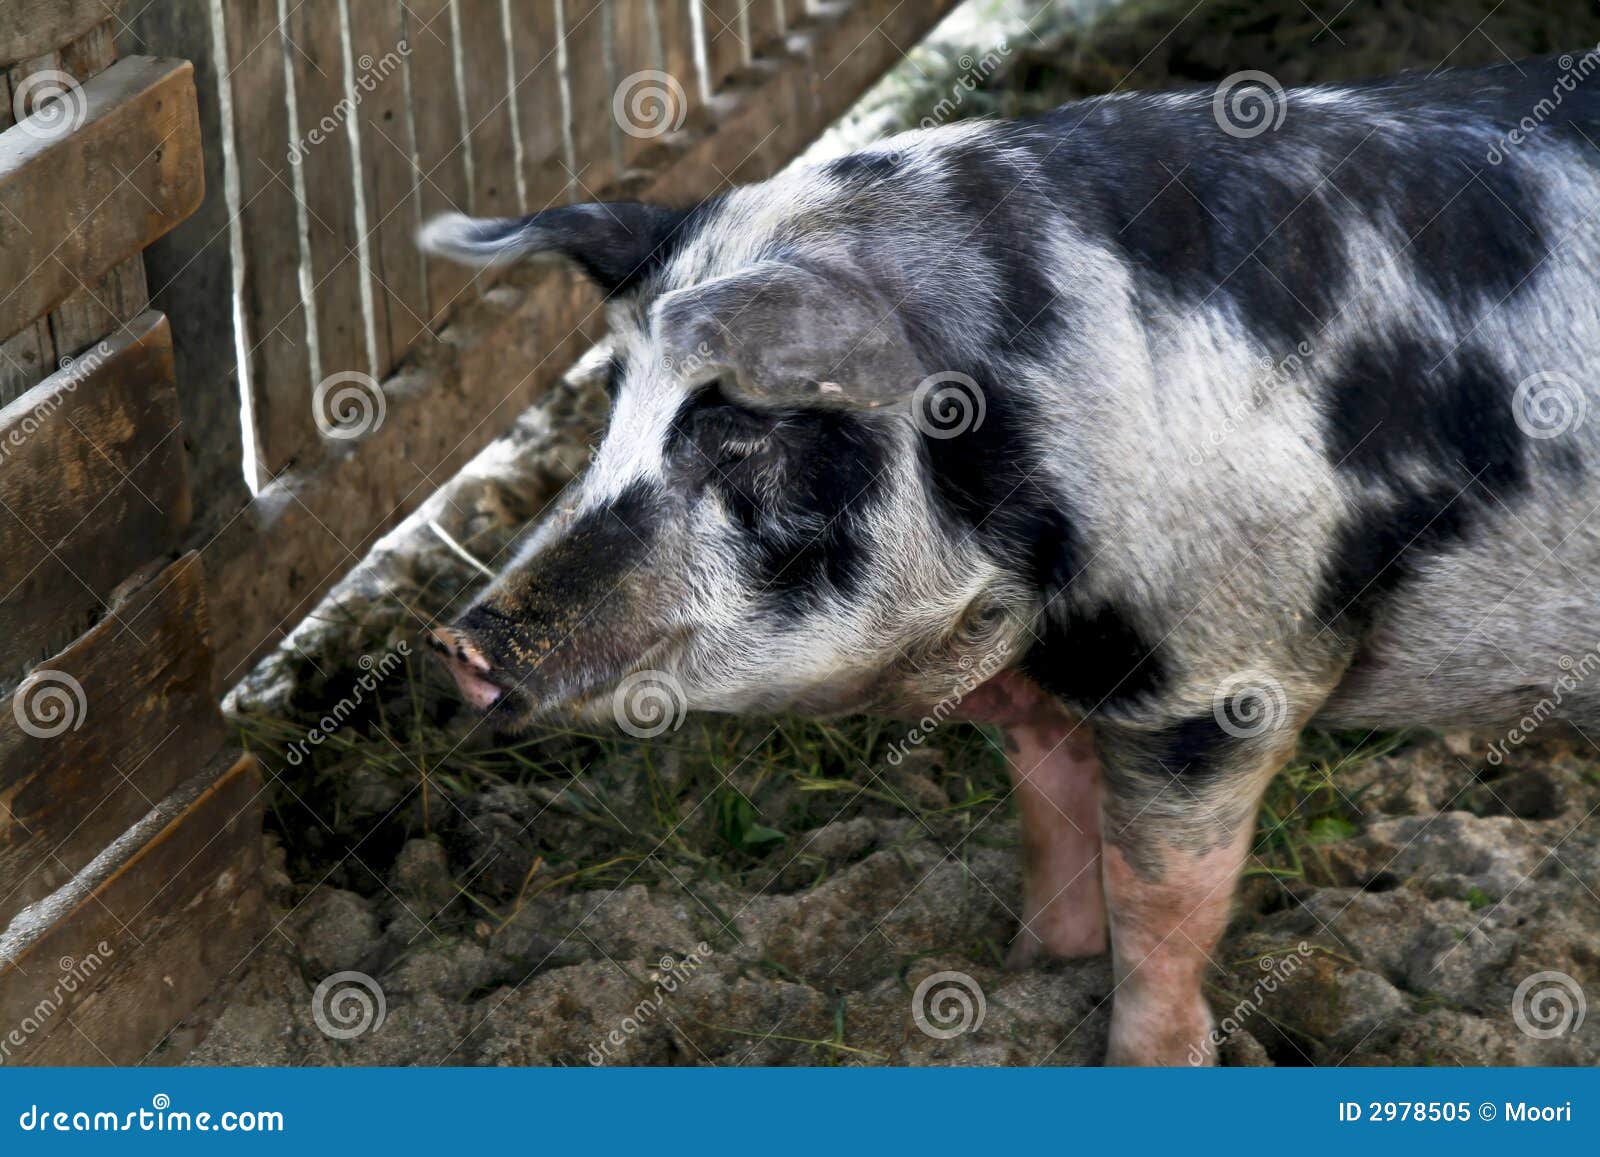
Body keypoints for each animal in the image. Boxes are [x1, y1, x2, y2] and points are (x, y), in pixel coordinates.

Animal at [420, 55, 1600, 1064]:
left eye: (742, 425)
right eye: (615, 408)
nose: (460, 640)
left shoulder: (1220, 677)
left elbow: (1161, 901)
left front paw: (1143, 1057)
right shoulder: (1045, 675)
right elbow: (1050, 817)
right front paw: (1028, 967)